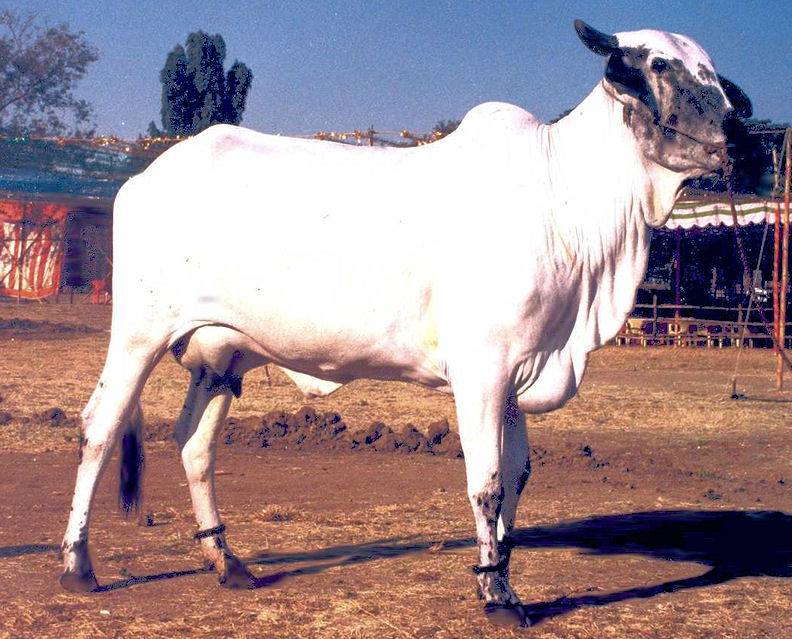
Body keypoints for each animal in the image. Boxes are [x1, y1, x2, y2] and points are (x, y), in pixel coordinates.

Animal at [60, 20, 750, 627]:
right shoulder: (481, 372)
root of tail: (145, 177)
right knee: (99, 429)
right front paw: (496, 596)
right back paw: (78, 565)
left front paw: (502, 569)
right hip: (140, 334)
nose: (737, 136)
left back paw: (226, 561)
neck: (567, 206)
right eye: (658, 64)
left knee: (194, 444)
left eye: (712, 68)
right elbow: (487, 482)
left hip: (221, 355)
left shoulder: (517, 375)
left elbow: (518, 477)